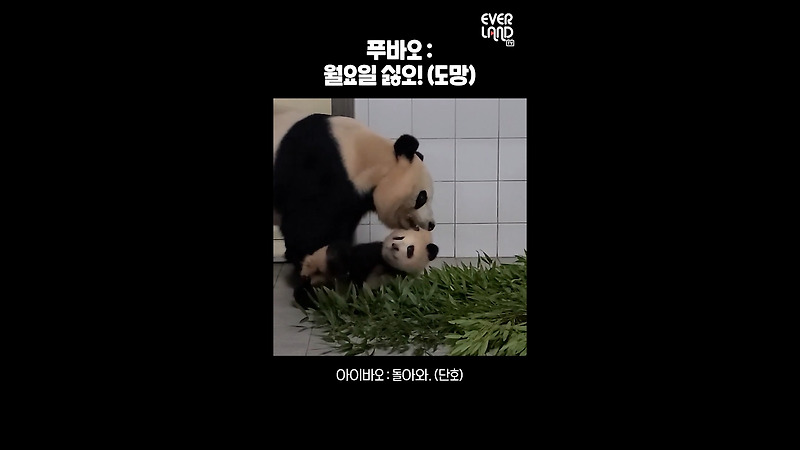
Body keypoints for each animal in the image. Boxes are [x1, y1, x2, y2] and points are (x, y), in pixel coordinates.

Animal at [293, 227, 440, 309]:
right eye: (399, 237)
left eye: (410, 249)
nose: (394, 246)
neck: (387, 263)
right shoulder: (374, 251)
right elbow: (351, 257)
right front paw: (345, 272)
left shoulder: (401, 278)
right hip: (319, 260)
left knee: (314, 297)